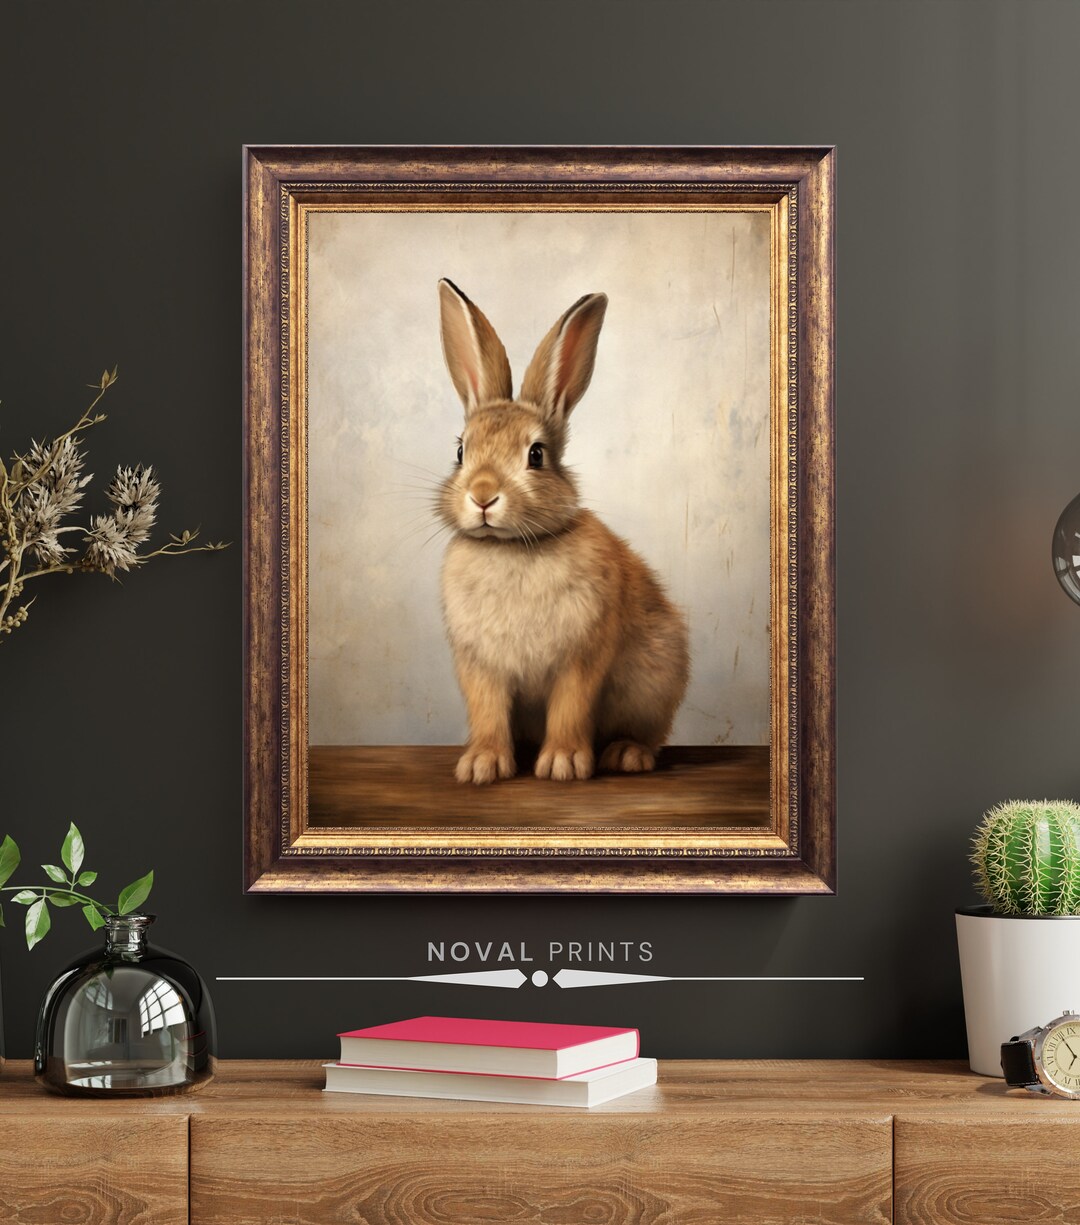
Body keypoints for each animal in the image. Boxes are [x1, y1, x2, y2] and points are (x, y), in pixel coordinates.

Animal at [436, 278, 690, 785]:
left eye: (536, 454)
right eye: (460, 451)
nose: (483, 494)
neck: (510, 549)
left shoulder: (582, 658)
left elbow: (571, 707)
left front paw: (563, 764)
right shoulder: (480, 667)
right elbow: (488, 712)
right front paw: (482, 765)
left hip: (657, 681)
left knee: (647, 734)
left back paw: (626, 754)